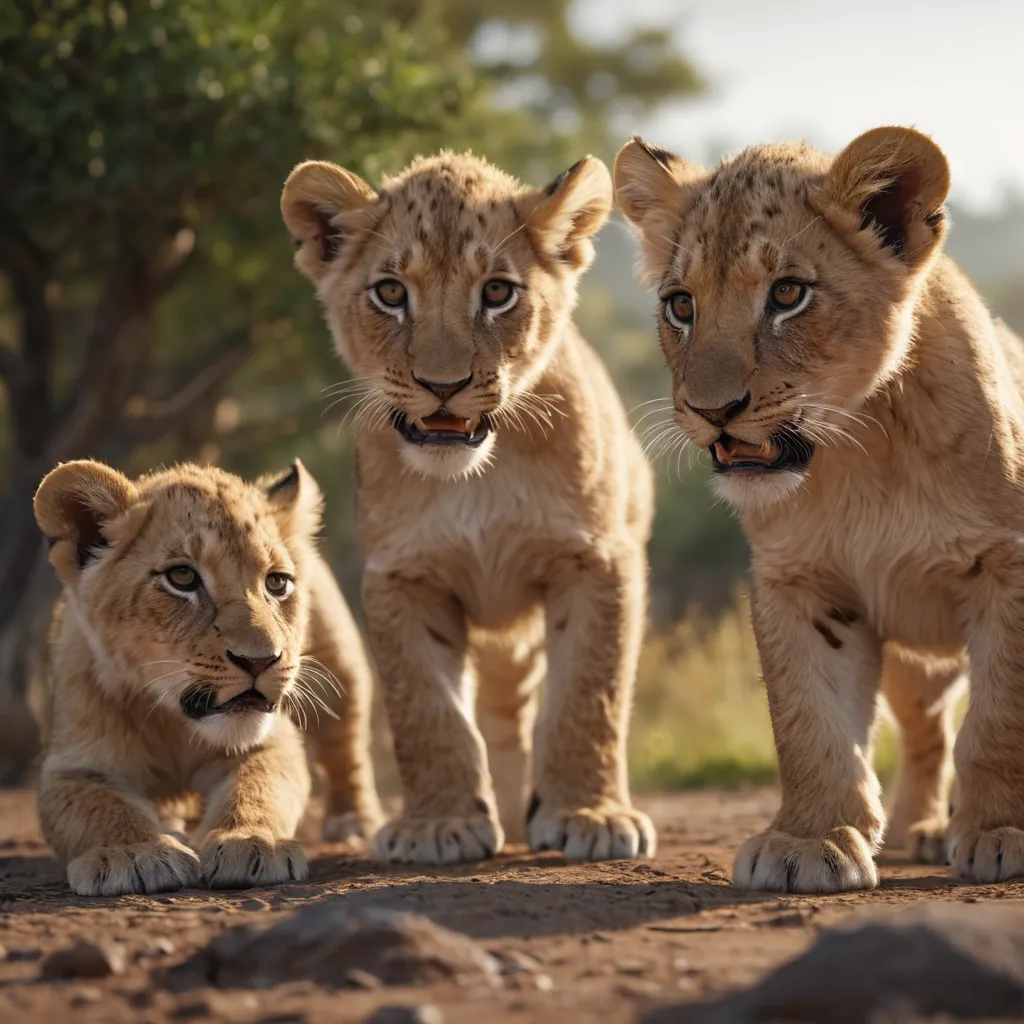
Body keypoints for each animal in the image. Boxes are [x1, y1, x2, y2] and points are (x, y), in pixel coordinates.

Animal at [33, 458, 381, 895]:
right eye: (182, 577)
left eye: (277, 582)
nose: (260, 660)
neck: (171, 721)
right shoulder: (72, 766)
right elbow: (99, 807)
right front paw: (135, 852)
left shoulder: (269, 741)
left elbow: (258, 785)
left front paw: (252, 842)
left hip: (340, 668)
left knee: (345, 745)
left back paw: (355, 821)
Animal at [281, 151, 656, 864]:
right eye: (391, 293)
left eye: (498, 292)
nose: (443, 386)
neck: (472, 480)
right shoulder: (403, 575)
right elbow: (424, 708)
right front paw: (440, 824)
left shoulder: (597, 559)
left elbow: (588, 694)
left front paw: (590, 815)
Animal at [614, 126, 1024, 892]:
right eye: (681, 305)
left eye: (787, 293)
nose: (713, 411)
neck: (862, 454)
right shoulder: (801, 581)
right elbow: (809, 721)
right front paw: (808, 842)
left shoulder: (1006, 565)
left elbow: (1000, 714)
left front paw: (1002, 832)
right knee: (925, 730)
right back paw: (921, 831)